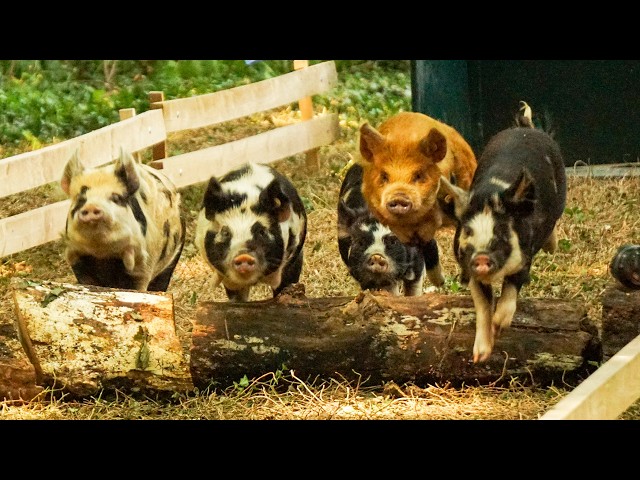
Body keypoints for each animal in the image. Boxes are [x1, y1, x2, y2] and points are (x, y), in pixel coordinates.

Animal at [60, 148, 186, 291]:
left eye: (116, 198)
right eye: (80, 200)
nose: (91, 206)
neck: (103, 254)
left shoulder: (142, 268)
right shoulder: (79, 262)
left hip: (173, 257)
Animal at [439, 103, 567, 363]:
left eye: (501, 233)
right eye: (467, 231)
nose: (481, 258)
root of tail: (525, 128)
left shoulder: (524, 257)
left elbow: (510, 290)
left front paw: (499, 326)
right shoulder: (469, 269)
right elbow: (482, 305)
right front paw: (480, 356)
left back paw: (552, 248)